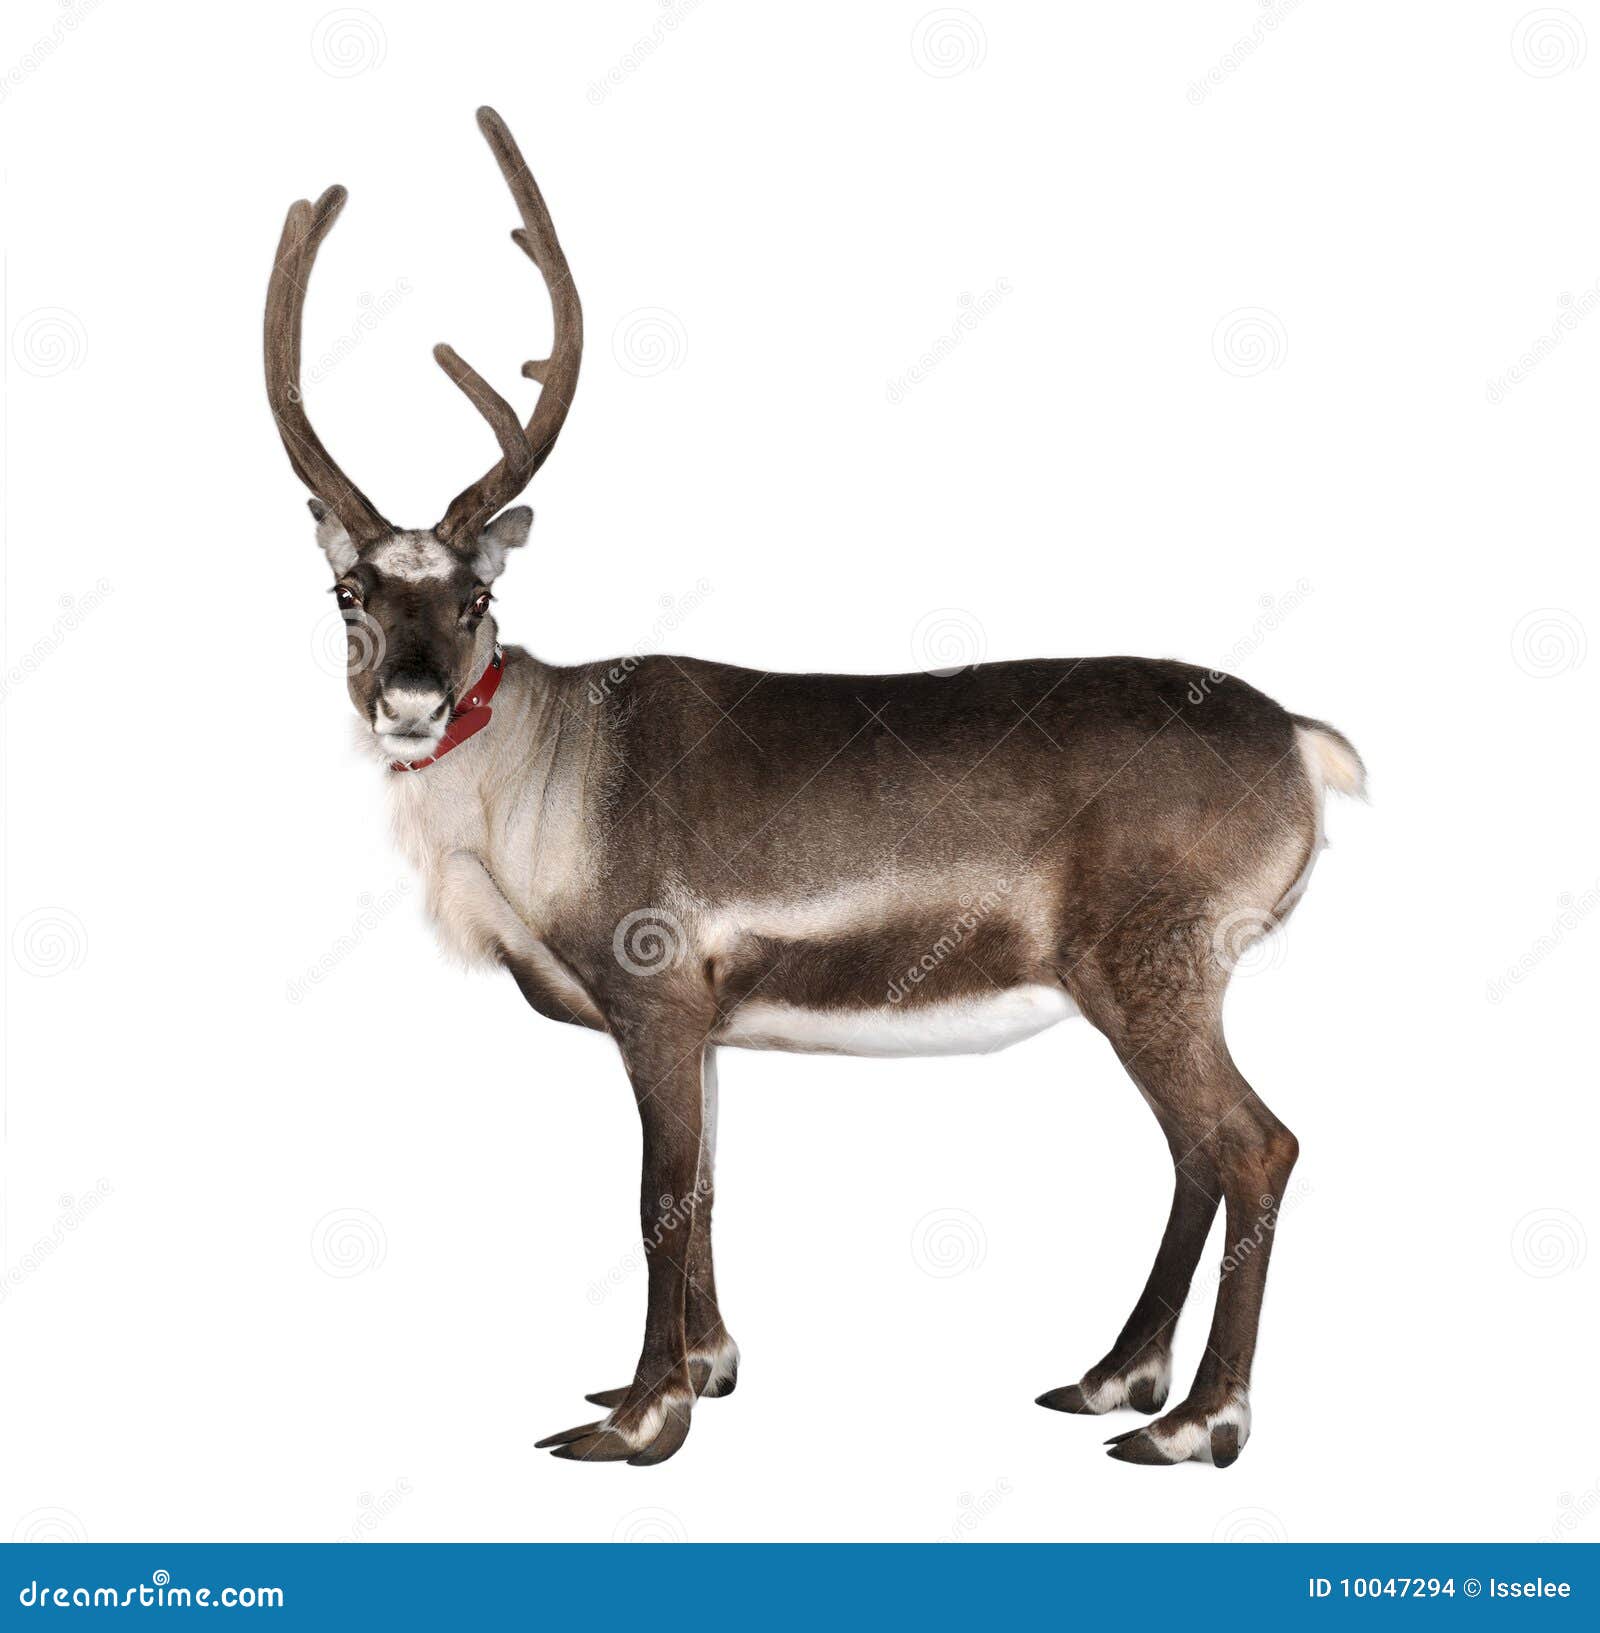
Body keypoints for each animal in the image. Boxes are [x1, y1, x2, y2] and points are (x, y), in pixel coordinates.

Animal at [265, 107, 1365, 1469]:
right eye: (348, 592)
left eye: (475, 597)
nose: (411, 700)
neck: (531, 798)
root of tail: (1301, 743)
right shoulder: (707, 1022)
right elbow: (710, 1189)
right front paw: (708, 1365)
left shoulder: (654, 989)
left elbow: (658, 1197)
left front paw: (637, 1419)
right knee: (1197, 1154)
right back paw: (1112, 1377)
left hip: (1154, 962)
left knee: (1255, 1143)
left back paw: (1195, 1423)